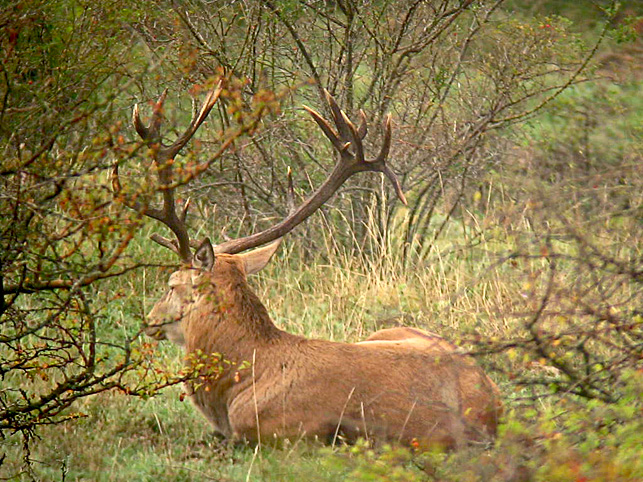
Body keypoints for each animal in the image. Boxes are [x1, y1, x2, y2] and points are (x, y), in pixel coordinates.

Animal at [115, 83, 502, 450]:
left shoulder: (272, 433)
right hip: (390, 333)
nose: (149, 320)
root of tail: (491, 410)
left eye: (171, 283)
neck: (246, 377)